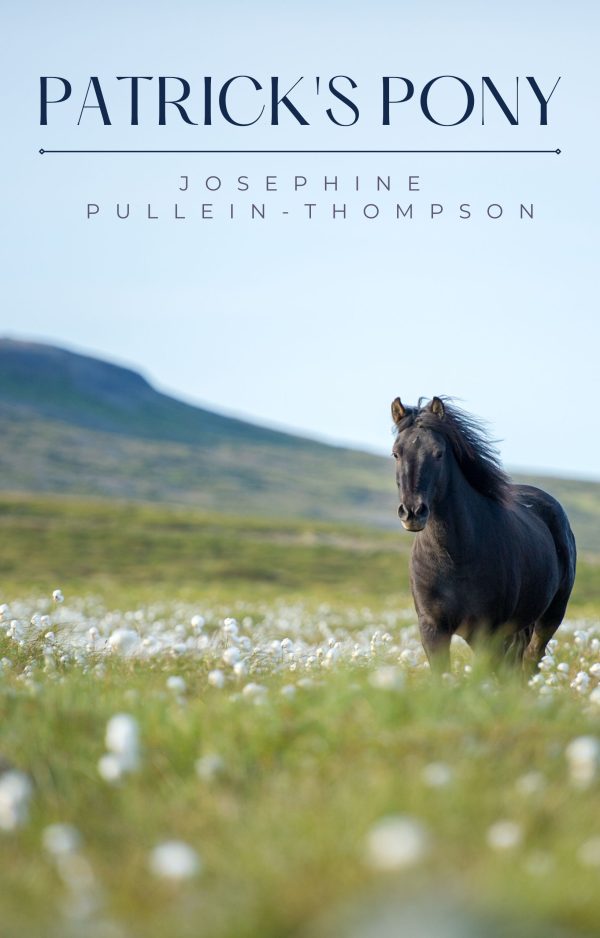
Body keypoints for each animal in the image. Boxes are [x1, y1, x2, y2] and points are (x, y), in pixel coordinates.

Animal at [390, 396, 576, 675]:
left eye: (438, 453)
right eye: (396, 453)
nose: (412, 512)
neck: (453, 557)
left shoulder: (486, 632)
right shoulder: (433, 629)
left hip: (549, 616)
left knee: (531, 659)